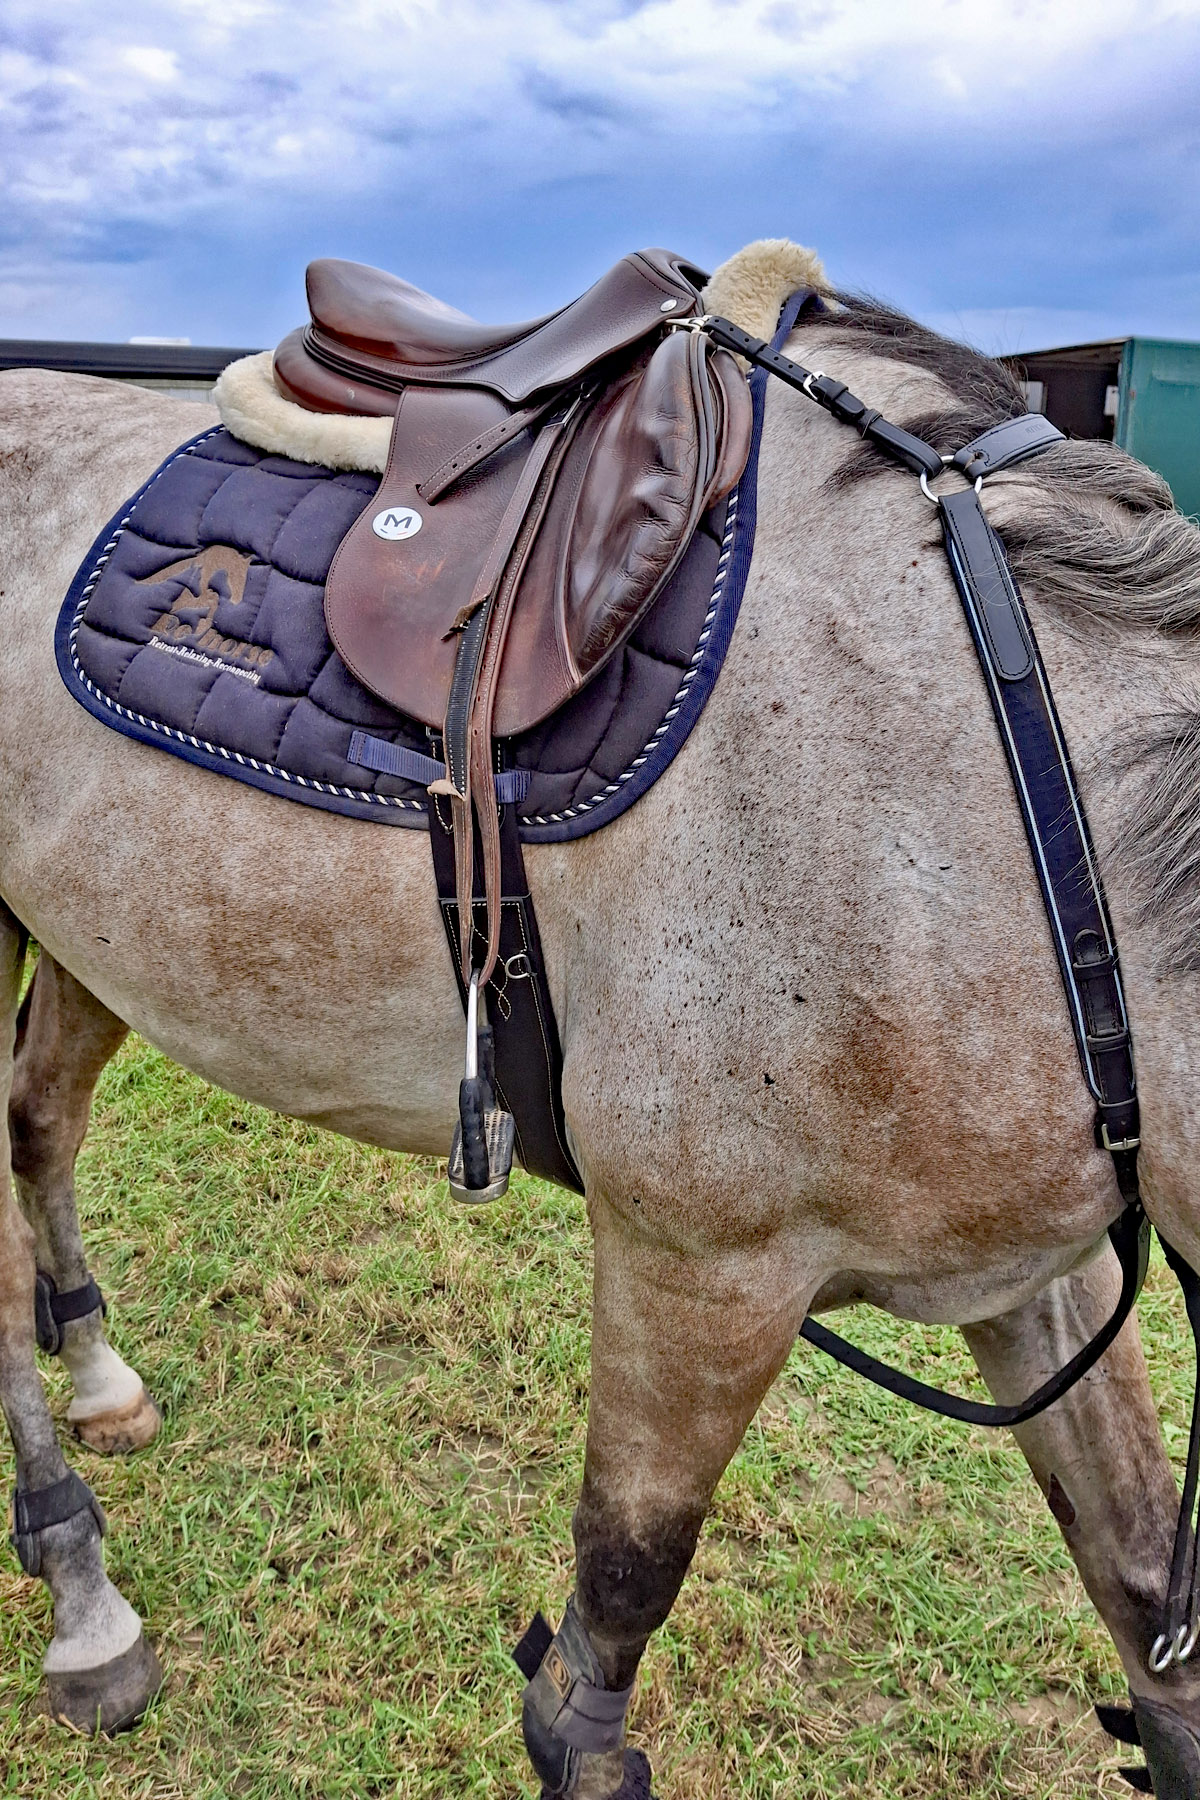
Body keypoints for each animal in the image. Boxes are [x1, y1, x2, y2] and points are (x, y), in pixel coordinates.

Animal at [2, 243, 1200, 1798]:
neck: (1016, 793)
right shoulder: (701, 1267)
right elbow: (603, 1647)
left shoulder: (1028, 1275)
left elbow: (1149, 1602)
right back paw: (80, 1587)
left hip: (92, 936)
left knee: (39, 1124)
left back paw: (96, 1376)